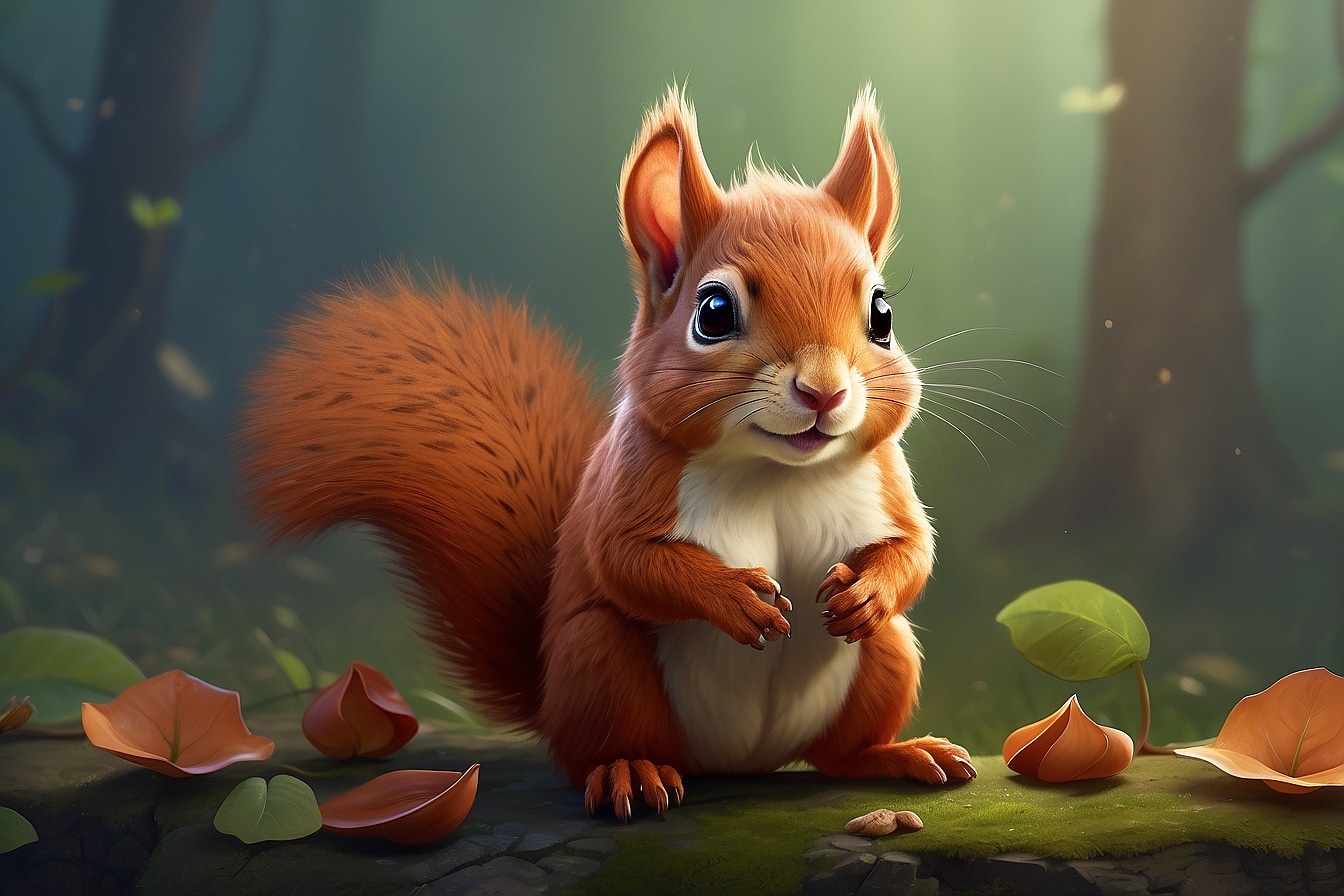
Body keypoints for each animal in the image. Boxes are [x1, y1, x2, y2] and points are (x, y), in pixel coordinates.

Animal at [238, 85, 976, 821]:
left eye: (881, 315)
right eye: (713, 313)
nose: (823, 391)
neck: (776, 471)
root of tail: (744, 765)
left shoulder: (886, 480)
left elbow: (913, 549)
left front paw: (870, 590)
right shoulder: (631, 481)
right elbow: (625, 560)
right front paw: (735, 598)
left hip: (888, 655)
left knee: (839, 749)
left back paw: (901, 753)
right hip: (599, 662)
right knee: (602, 743)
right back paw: (631, 771)